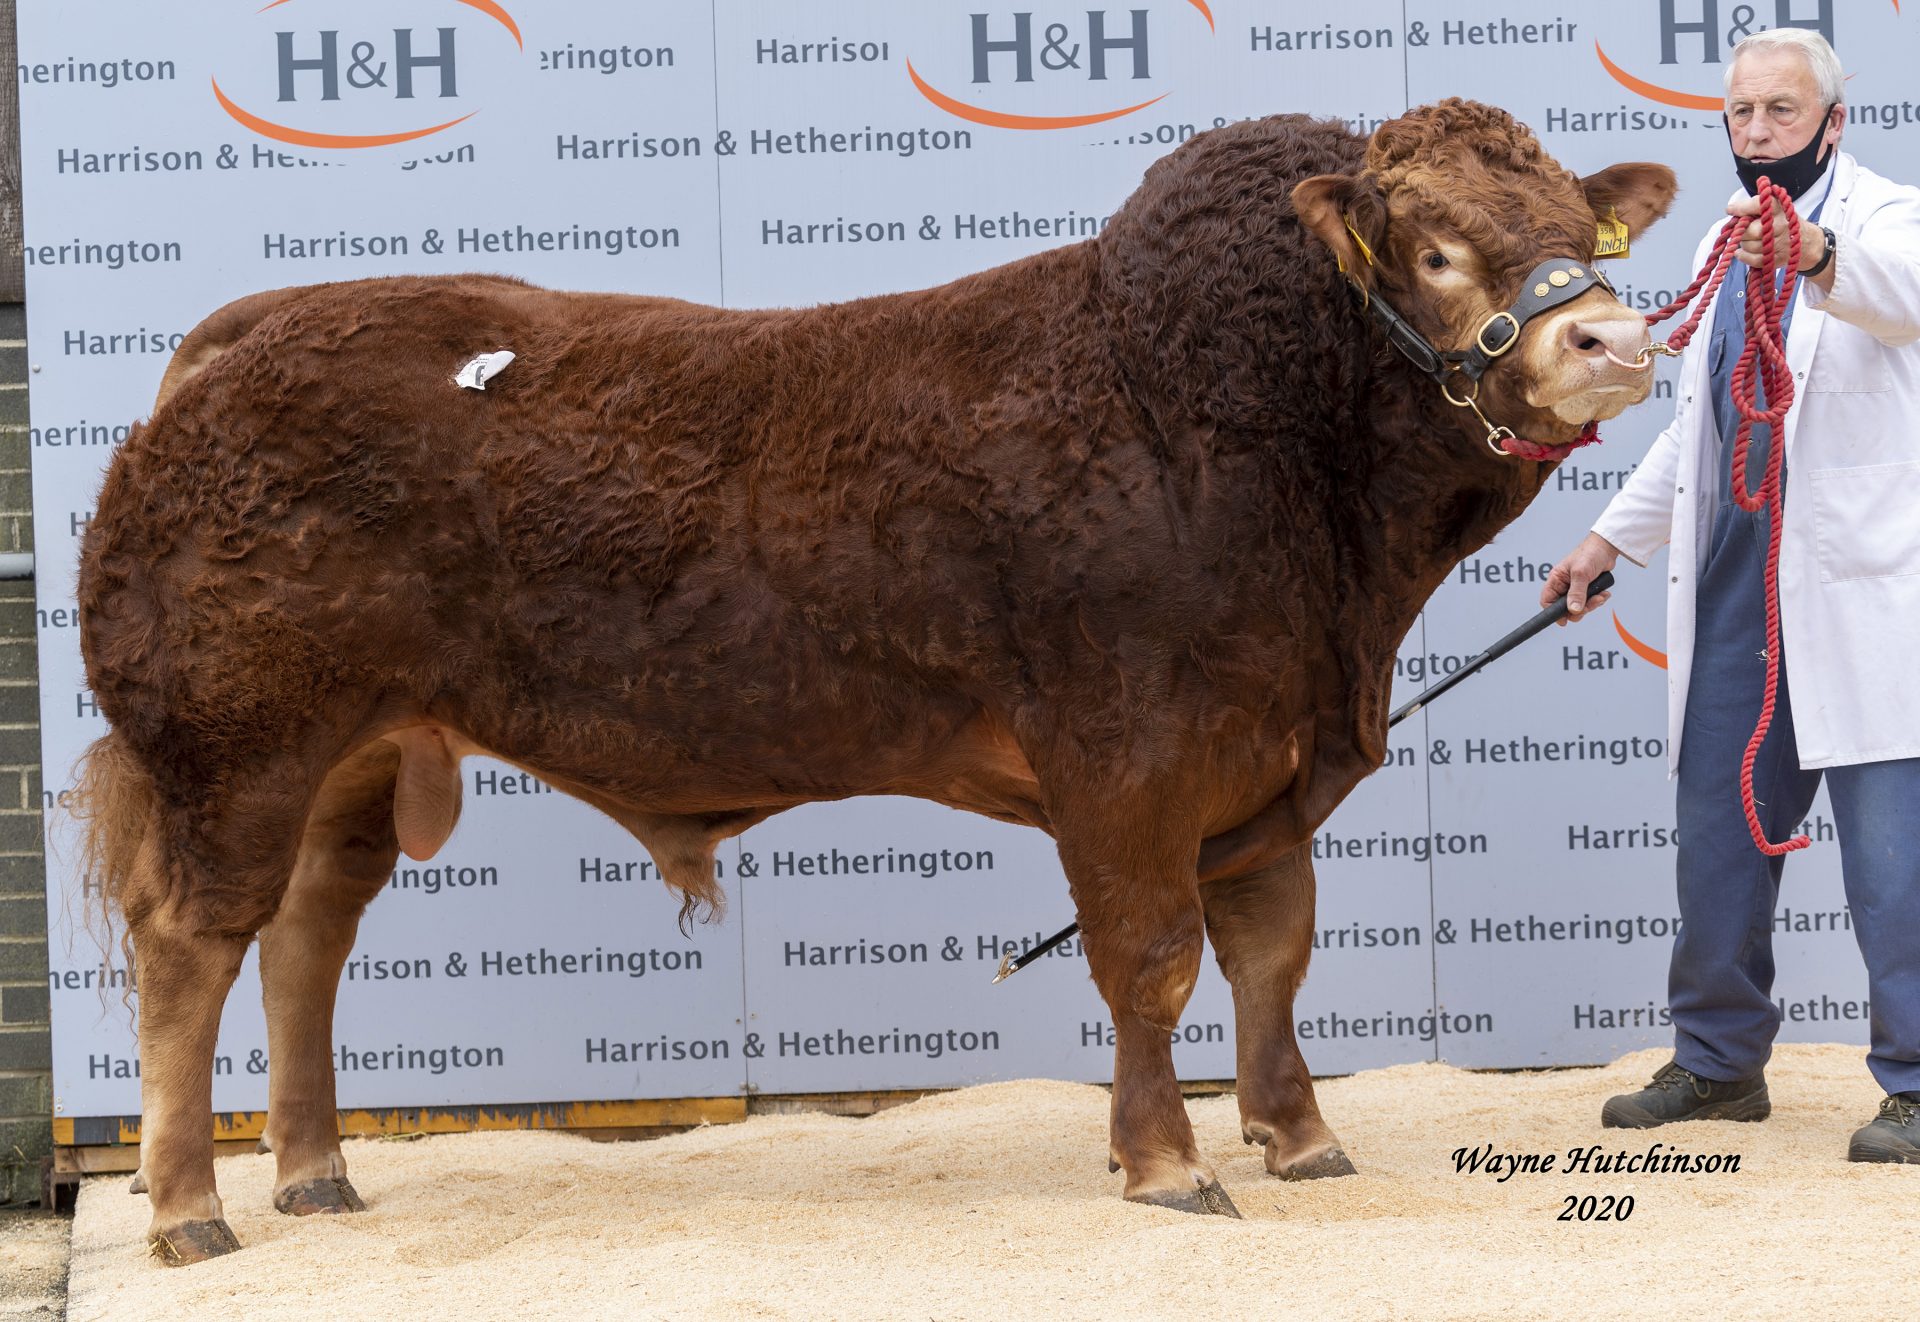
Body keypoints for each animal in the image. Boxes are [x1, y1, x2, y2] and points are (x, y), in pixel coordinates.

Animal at [72, 100, 1675, 1263]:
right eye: (1436, 250)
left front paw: (1300, 1140)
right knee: (191, 946)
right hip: (235, 744)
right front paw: (1166, 1163)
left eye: (1568, 219)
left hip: (350, 753)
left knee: (305, 941)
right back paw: (189, 1207)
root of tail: (250, 335)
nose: (1609, 336)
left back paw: (314, 1174)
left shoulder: (1266, 755)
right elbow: (1152, 957)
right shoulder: (1128, 754)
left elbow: (1273, 953)